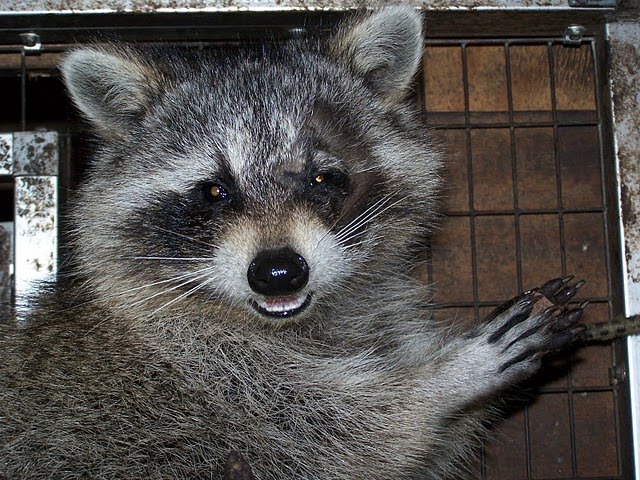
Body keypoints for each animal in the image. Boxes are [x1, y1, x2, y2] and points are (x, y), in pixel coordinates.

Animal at [0, 6, 587, 480]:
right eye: (214, 190)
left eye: (322, 178)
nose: (278, 271)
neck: (302, 323)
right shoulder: (192, 369)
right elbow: (343, 433)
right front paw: (443, 381)